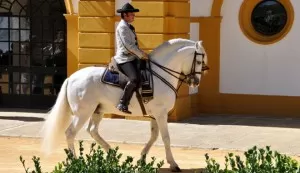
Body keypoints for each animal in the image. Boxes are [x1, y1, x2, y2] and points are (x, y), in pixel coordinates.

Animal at [41, 37, 209, 172]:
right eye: (199, 61)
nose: (195, 82)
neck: (159, 75)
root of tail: (71, 78)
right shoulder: (161, 113)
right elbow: (165, 137)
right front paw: (173, 164)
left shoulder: (155, 114)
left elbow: (154, 136)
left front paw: (142, 158)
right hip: (83, 112)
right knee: (70, 133)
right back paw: (76, 162)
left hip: (98, 110)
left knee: (93, 130)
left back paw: (112, 154)